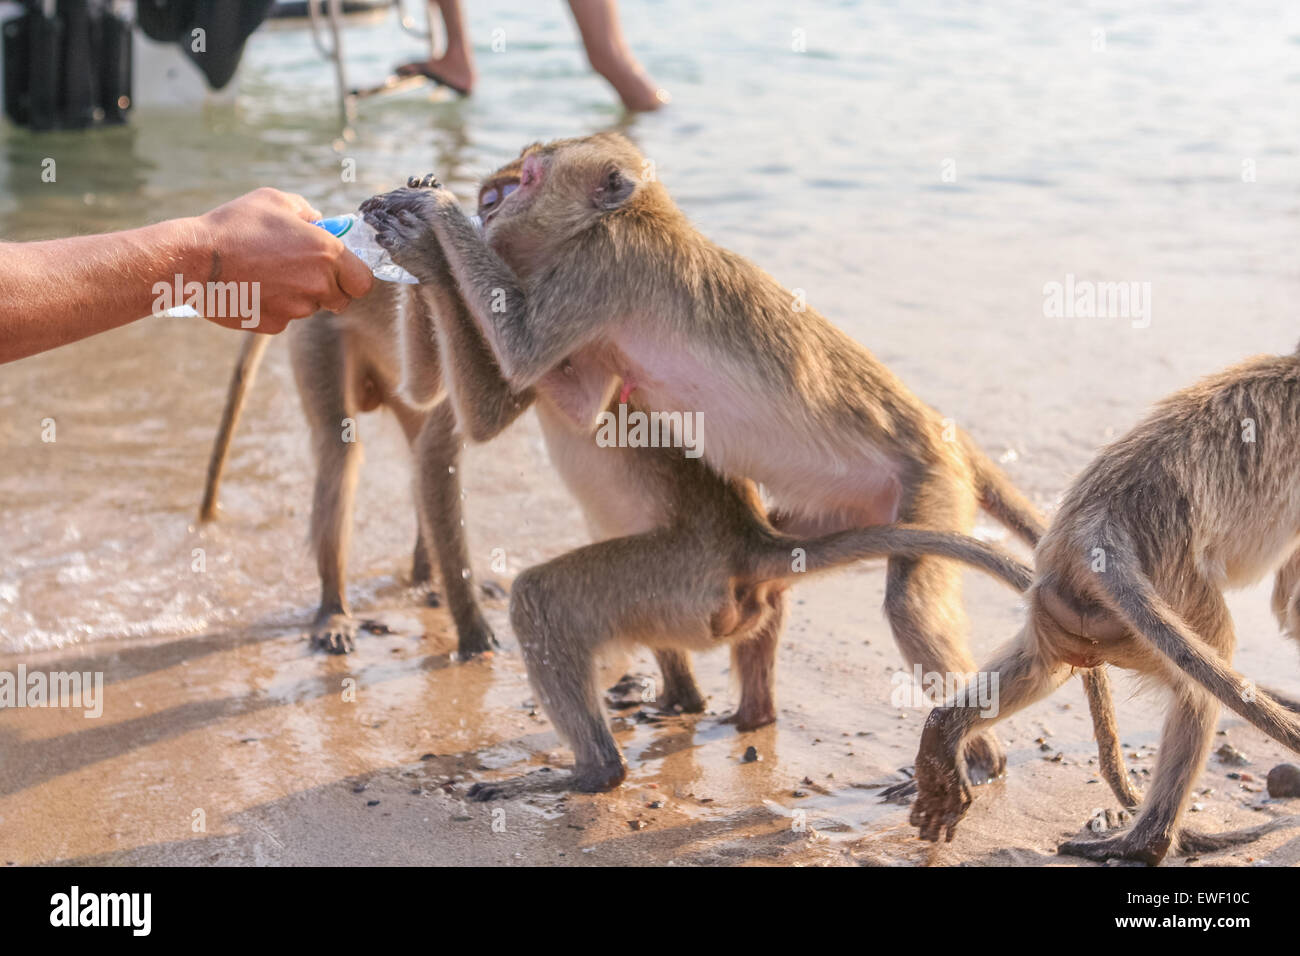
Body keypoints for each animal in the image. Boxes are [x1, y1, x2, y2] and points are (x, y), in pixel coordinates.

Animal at [360, 162, 1134, 800]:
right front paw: (417, 243)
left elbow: (512, 372)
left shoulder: (596, 276)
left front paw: (425, 239)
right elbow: (469, 400)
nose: (488, 196)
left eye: (522, 178)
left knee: (545, 598)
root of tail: (743, 546)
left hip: (744, 557)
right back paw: (732, 710)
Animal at [909, 347, 1300, 865]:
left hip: (1069, 608)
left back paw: (943, 733)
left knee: (1044, 666)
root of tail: (1098, 525)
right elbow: (1290, 608)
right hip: (1172, 594)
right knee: (1201, 680)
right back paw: (1147, 842)